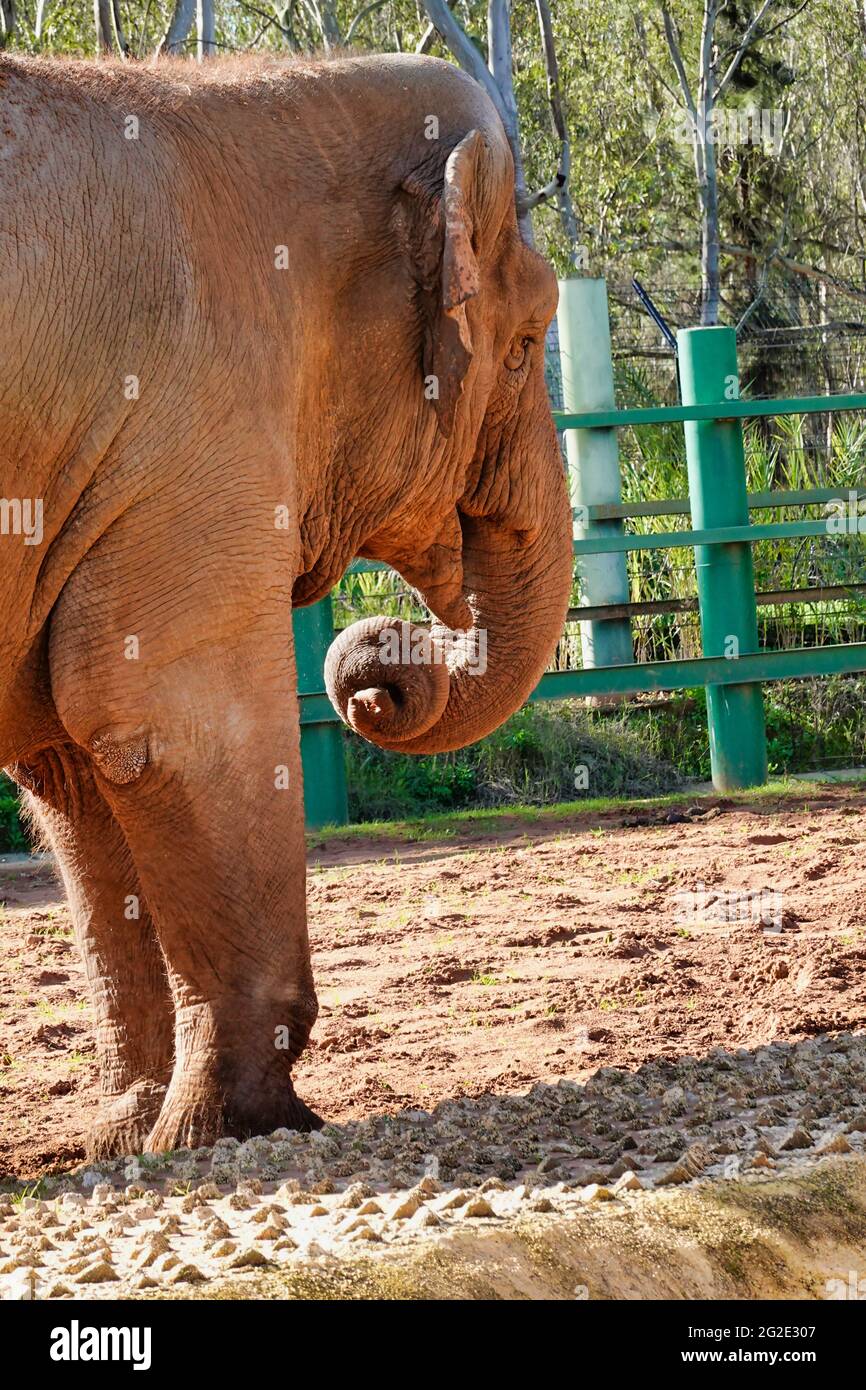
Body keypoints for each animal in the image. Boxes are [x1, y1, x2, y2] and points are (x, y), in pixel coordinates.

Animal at [0, 50, 573, 1156]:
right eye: (526, 343)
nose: (375, 675)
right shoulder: (187, 428)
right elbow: (176, 724)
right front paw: (238, 1129)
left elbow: (74, 767)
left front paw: (128, 1138)